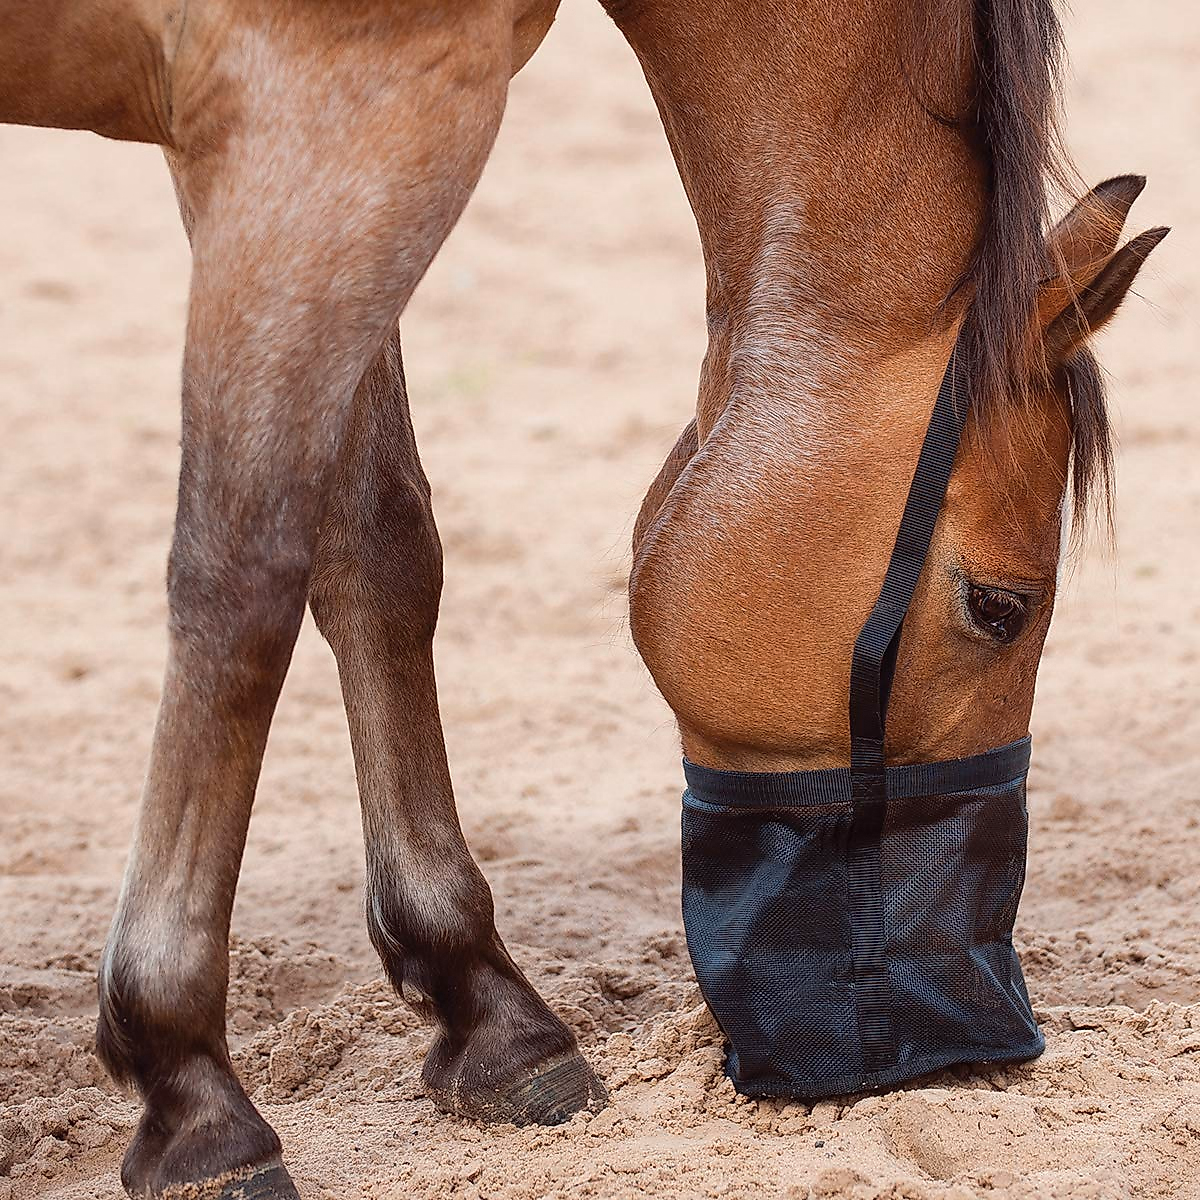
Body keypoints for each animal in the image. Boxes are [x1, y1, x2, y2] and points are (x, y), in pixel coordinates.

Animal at [0, 1, 1164, 1197]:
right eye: (999, 608)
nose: (975, 1040)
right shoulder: (326, 113)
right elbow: (242, 588)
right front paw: (187, 1081)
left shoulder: (335, 137)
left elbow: (378, 544)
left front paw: (486, 1005)